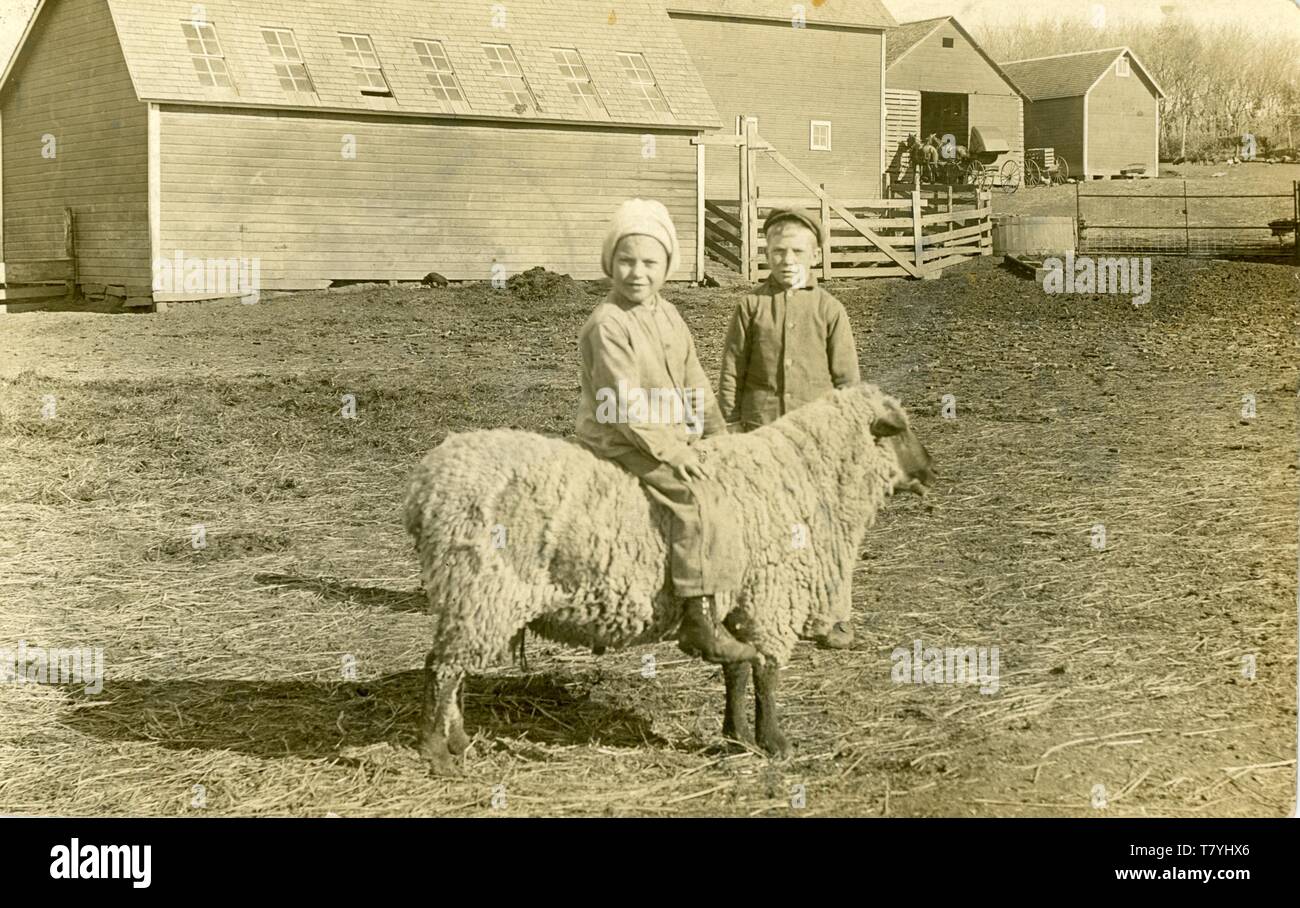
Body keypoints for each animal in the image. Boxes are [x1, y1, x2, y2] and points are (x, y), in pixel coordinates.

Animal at [403, 382, 934, 771]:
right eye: (901, 429)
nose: (931, 471)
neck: (803, 476)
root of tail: (425, 486)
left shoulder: (738, 598)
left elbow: (736, 669)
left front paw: (737, 735)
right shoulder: (770, 595)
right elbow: (766, 672)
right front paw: (775, 742)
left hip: (469, 593)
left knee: (453, 670)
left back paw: (458, 741)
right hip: (480, 586)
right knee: (442, 669)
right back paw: (436, 754)